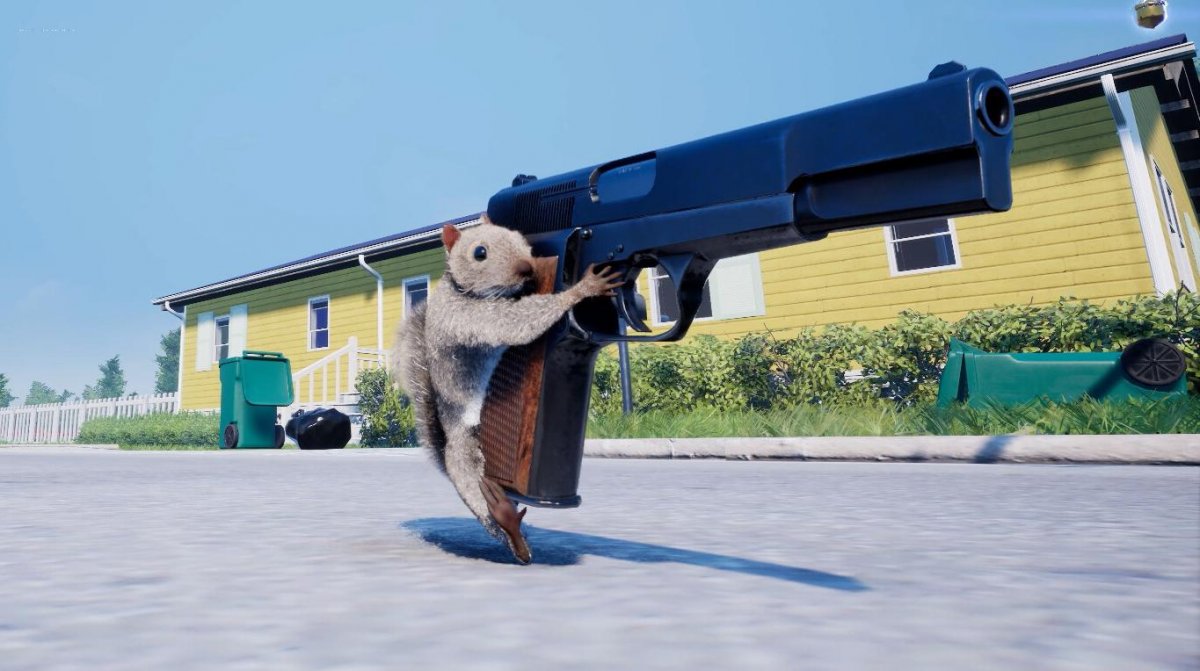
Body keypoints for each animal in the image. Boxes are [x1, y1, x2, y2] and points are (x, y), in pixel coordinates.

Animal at [393, 217, 623, 564]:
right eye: (480, 252)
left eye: (518, 237)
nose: (526, 268)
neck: (460, 287)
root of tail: (448, 441)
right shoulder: (470, 317)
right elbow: (515, 324)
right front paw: (584, 287)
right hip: (467, 456)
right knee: (476, 492)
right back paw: (507, 522)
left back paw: (518, 537)